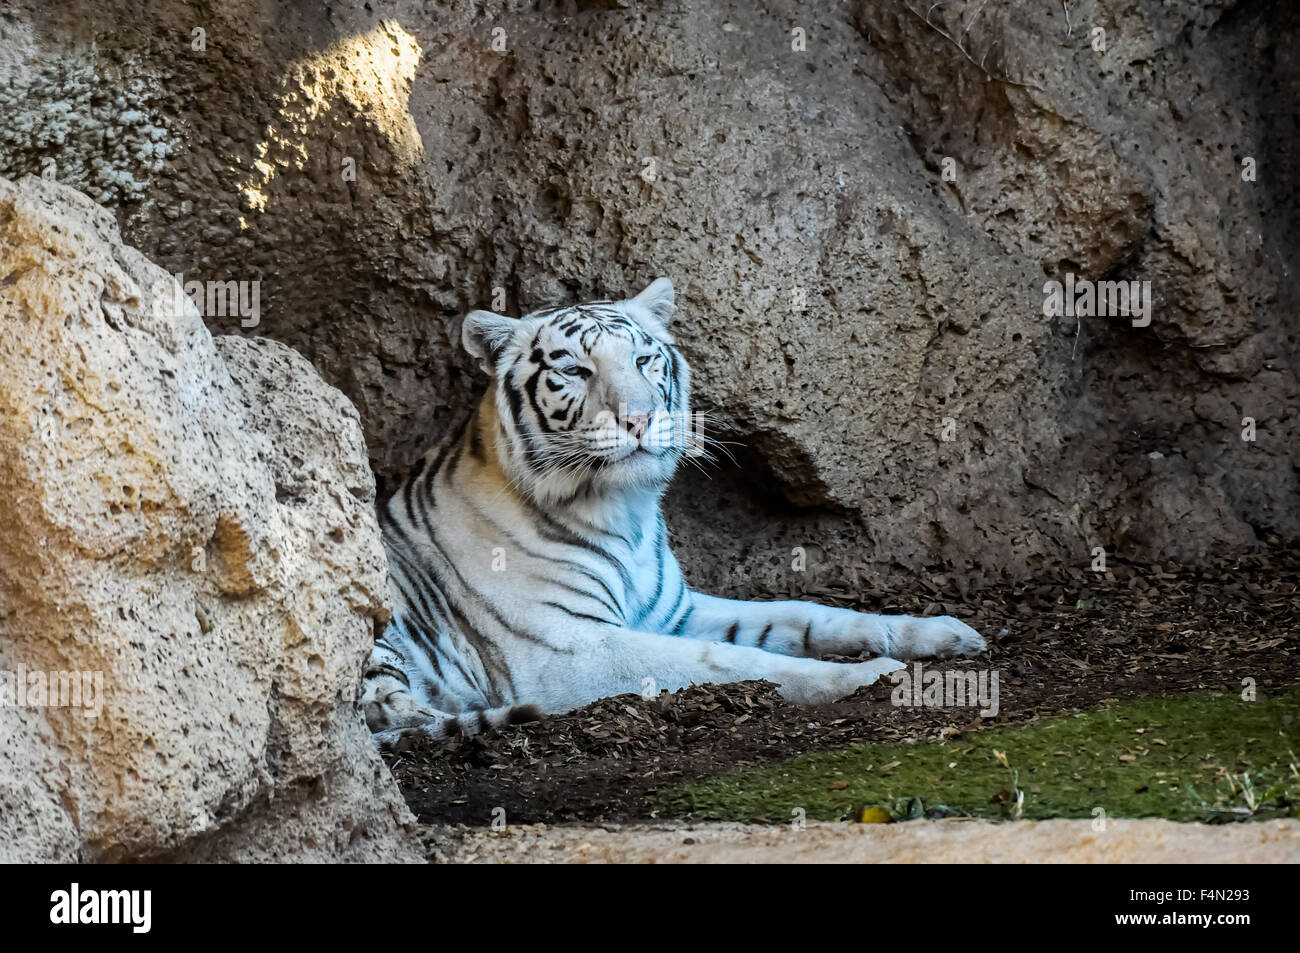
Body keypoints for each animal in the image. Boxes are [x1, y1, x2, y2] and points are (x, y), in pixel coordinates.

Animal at [362, 277, 986, 745]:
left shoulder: (670, 612)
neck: (622, 512)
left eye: (644, 359)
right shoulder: (573, 649)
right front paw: (873, 674)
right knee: (389, 720)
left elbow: (803, 615)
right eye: (575, 371)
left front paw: (942, 633)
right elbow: (734, 662)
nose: (638, 419)